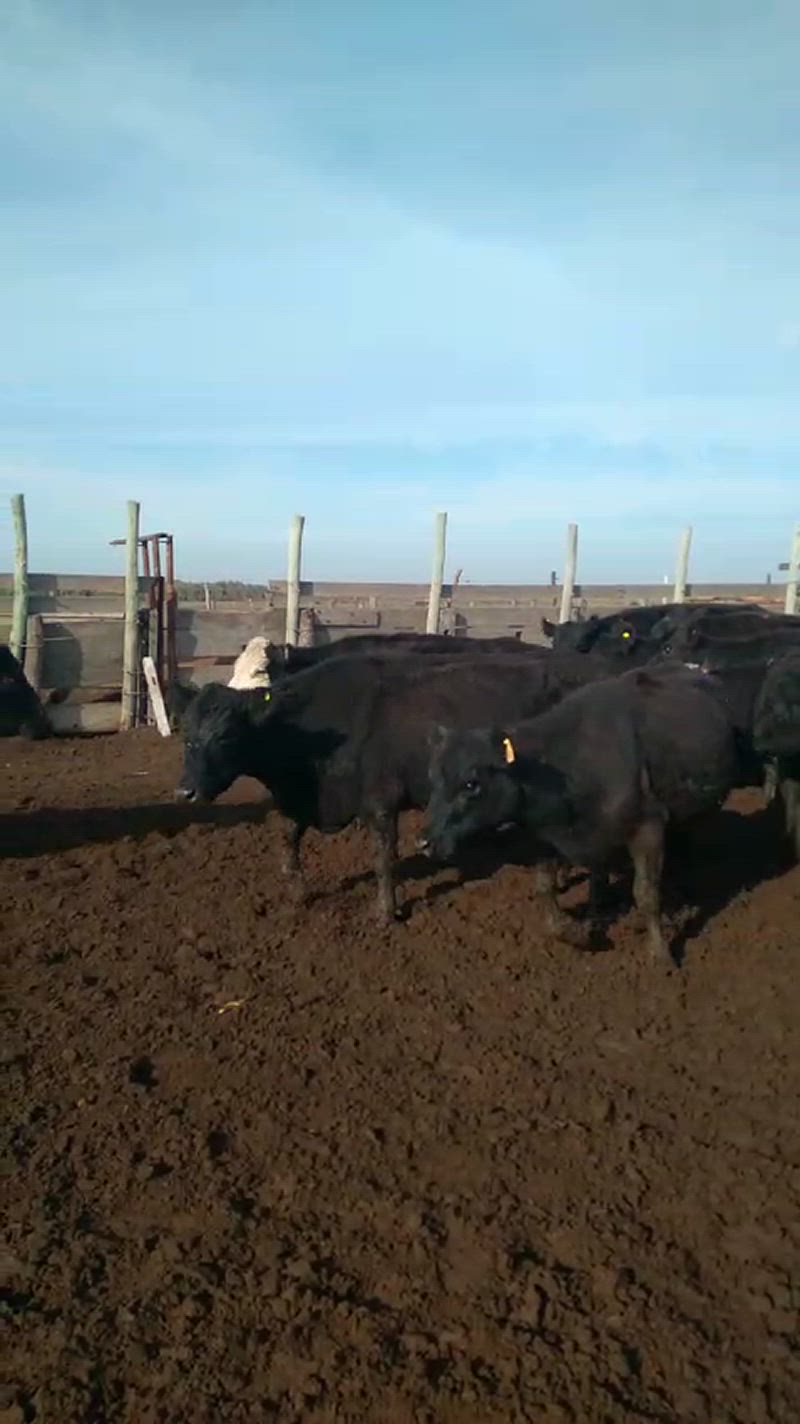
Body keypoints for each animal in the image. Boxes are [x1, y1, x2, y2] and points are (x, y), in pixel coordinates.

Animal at [175, 650, 615, 921]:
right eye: (186, 733)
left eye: (226, 735)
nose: (185, 792)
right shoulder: (305, 800)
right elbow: (288, 839)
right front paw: (297, 892)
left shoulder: (381, 801)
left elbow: (383, 859)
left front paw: (386, 913)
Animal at [420, 664, 747, 963]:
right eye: (433, 778)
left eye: (471, 783)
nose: (425, 841)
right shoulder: (546, 836)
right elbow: (545, 889)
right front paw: (578, 932)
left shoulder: (647, 827)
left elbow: (646, 893)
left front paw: (660, 953)